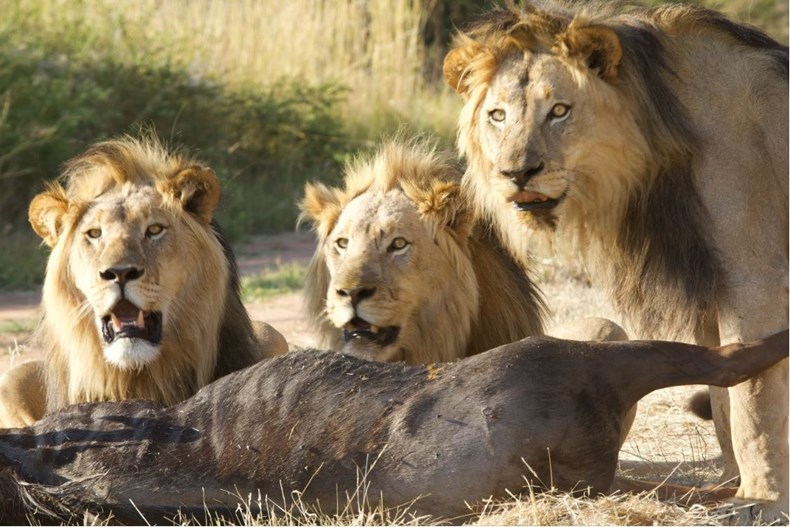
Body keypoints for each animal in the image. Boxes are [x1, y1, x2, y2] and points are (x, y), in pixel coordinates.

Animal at [443, 2, 789, 517]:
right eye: (497, 115)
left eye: (559, 111)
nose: (517, 173)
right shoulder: (708, 286)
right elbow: (725, 397)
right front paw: (727, 486)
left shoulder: (755, 280)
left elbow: (754, 406)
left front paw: (759, 501)